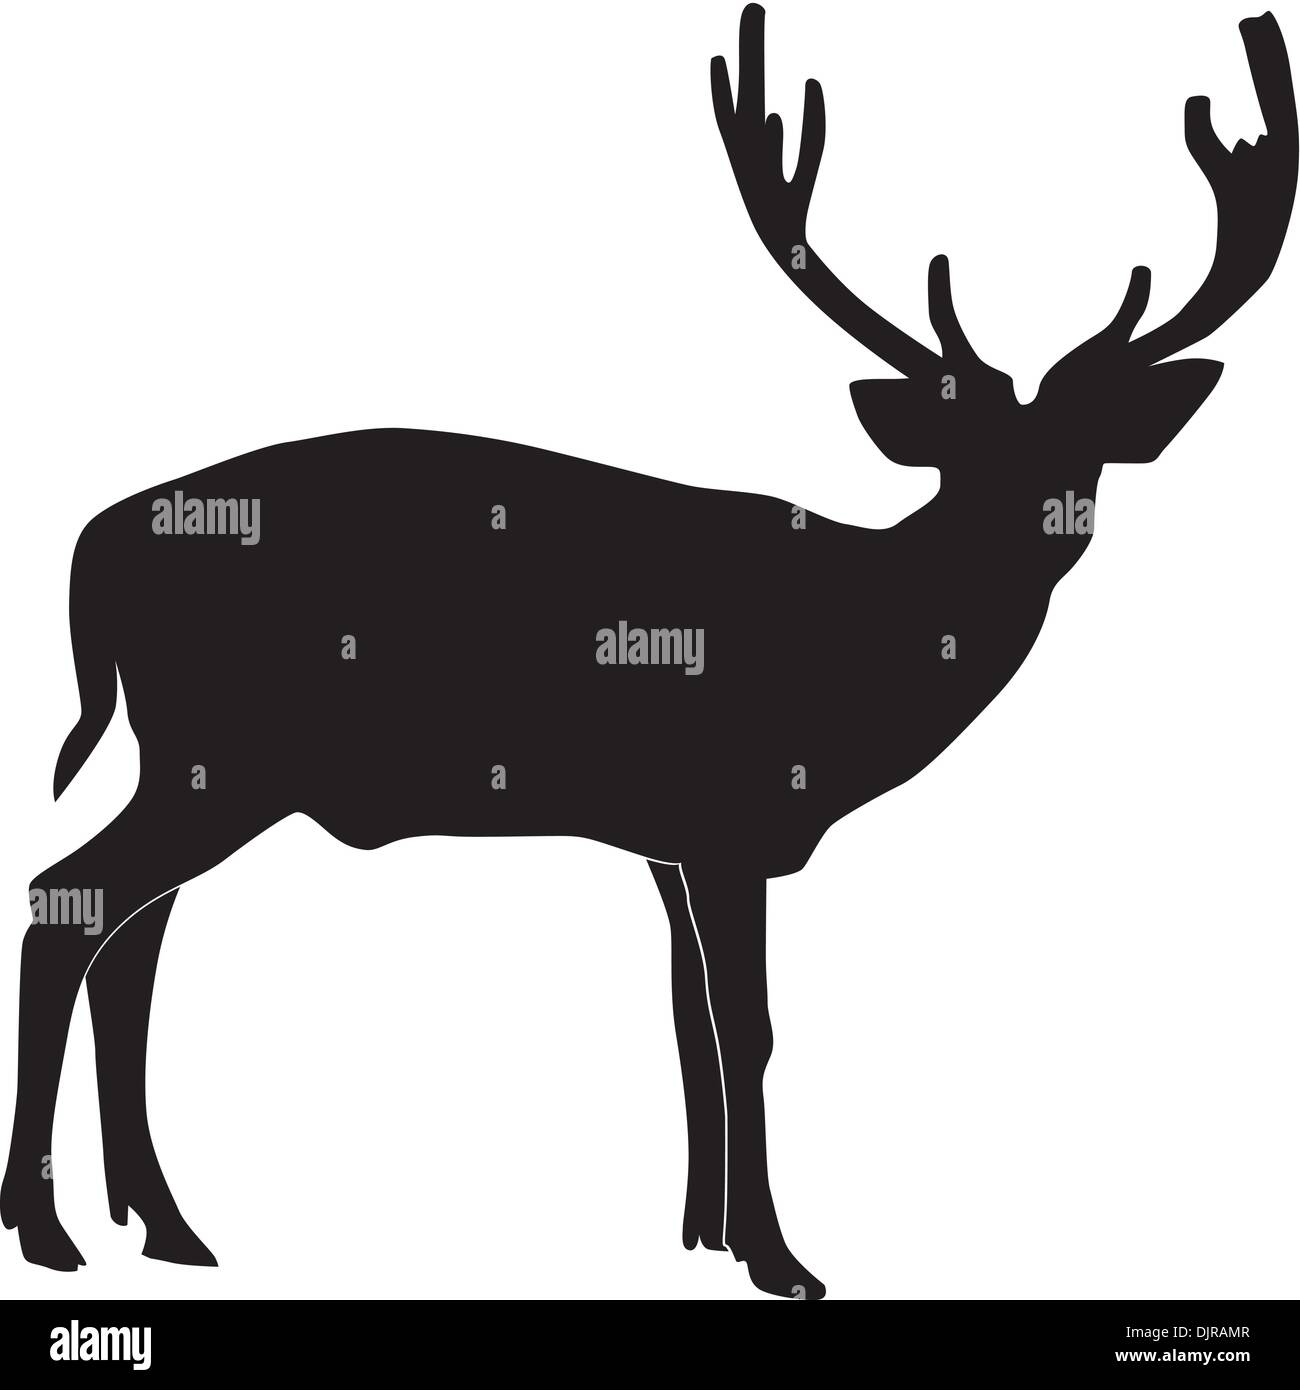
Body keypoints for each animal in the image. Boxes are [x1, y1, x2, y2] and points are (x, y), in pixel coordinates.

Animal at [2, 4, 1294, 1300]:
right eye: (956, 451)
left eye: (1082, 447)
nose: (1047, 523)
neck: (861, 644)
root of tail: (91, 546)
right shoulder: (732, 815)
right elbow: (747, 1026)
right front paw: (782, 1255)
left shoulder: (667, 836)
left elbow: (686, 1021)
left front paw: (703, 1231)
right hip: (223, 754)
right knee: (71, 902)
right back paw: (52, 1227)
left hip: (190, 757)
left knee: (133, 933)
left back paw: (165, 1223)